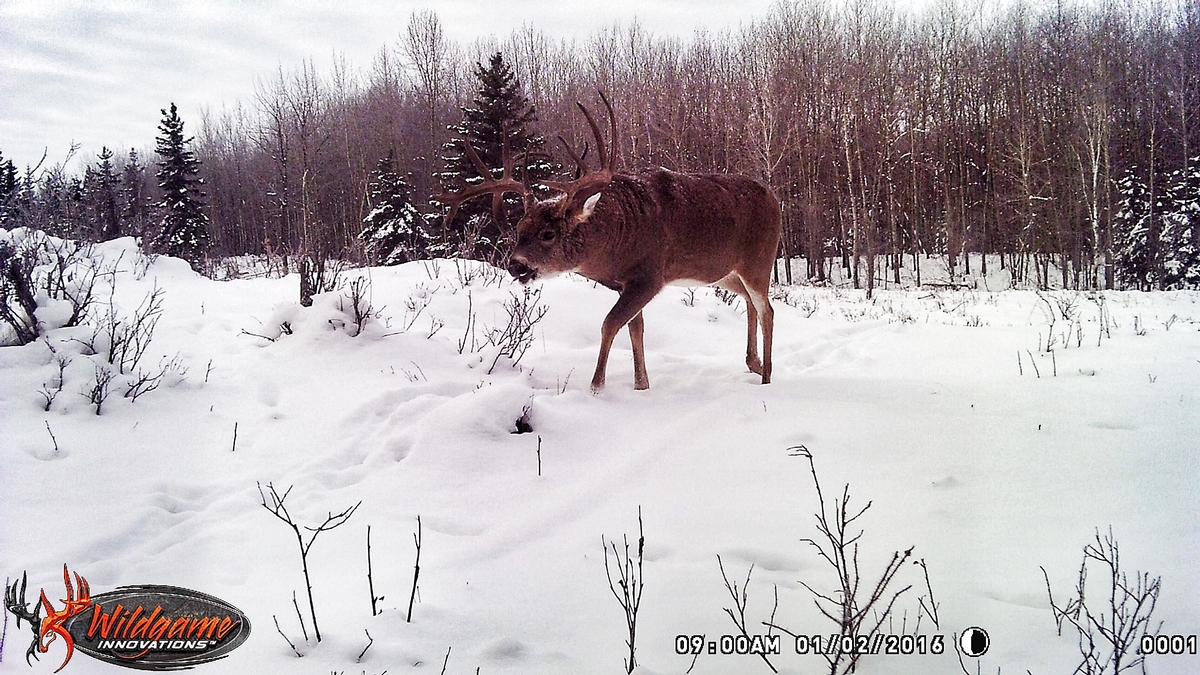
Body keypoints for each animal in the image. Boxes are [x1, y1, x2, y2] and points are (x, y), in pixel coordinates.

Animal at [435, 92, 781, 392]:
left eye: (548, 234)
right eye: (519, 229)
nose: (516, 265)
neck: (616, 238)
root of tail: (774, 197)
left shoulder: (649, 275)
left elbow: (610, 323)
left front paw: (596, 386)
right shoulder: (624, 284)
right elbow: (635, 328)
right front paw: (641, 385)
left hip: (759, 259)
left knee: (767, 309)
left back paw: (766, 376)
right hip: (725, 273)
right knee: (750, 302)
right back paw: (753, 362)